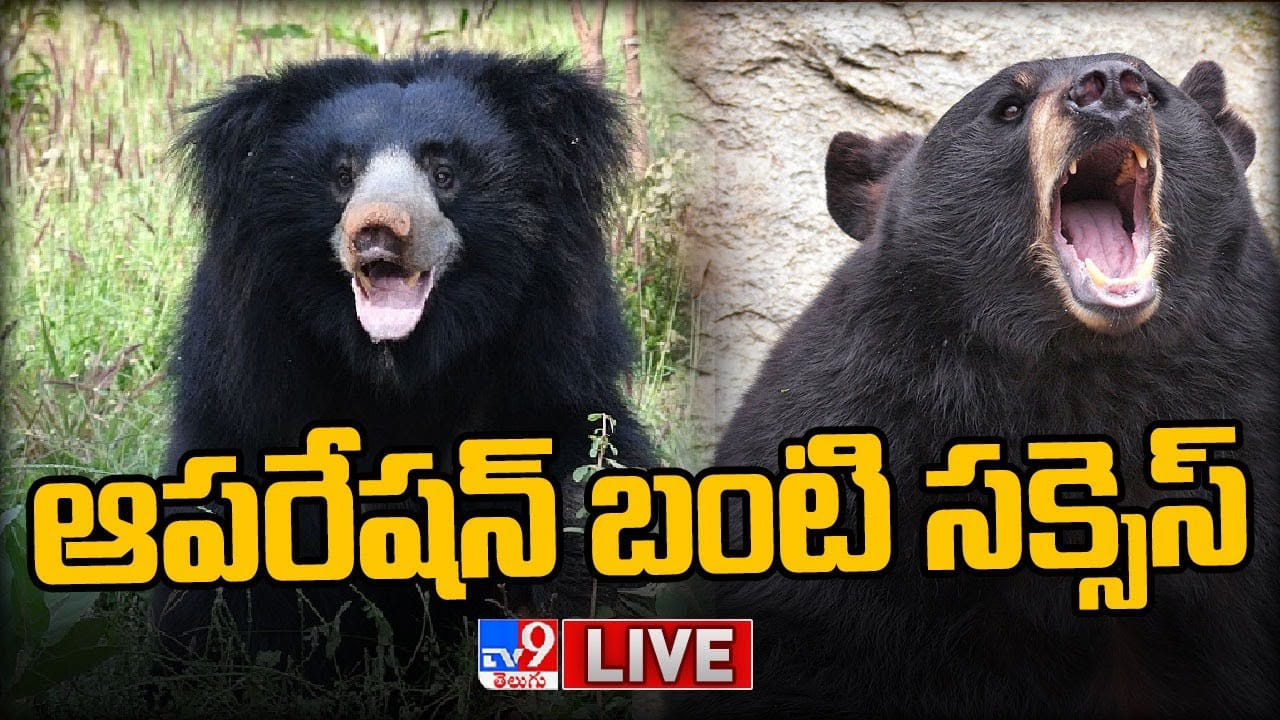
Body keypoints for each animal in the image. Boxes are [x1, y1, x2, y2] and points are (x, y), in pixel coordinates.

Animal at [149, 52, 652, 679]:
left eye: (444, 172)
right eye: (343, 176)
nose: (377, 230)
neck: (399, 367)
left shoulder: (550, 375)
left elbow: (577, 514)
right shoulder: (250, 386)